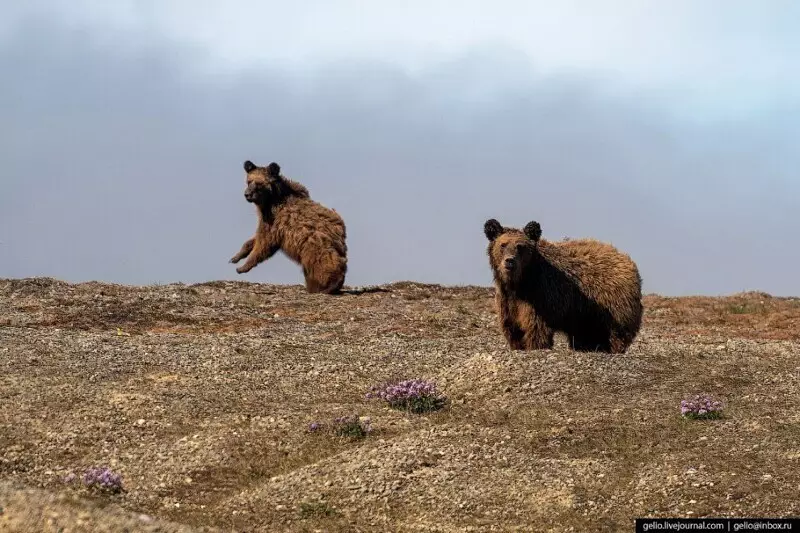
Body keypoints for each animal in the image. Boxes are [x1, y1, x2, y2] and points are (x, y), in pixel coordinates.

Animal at [228, 161, 346, 296]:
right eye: (249, 181)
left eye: (259, 183)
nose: (247, 194)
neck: (270, 202)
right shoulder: (267, 220)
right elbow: (254, 239)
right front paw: (235, 257)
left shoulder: (275, 222)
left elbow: (264, 243)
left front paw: (242, 267)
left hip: (314, 242)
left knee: (323, 260)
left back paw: (329, 286)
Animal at [482, 218, 644, 352]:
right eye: (503, 245)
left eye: (520, 246)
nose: (509, 261)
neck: (519, 283)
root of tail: (627, 259)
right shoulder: (508, 302)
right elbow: (513, 329)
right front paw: (518, 346)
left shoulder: (540, 296)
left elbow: (536, 328)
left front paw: (535, 346)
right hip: (585, 314)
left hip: (612, 300)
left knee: (616, 330)